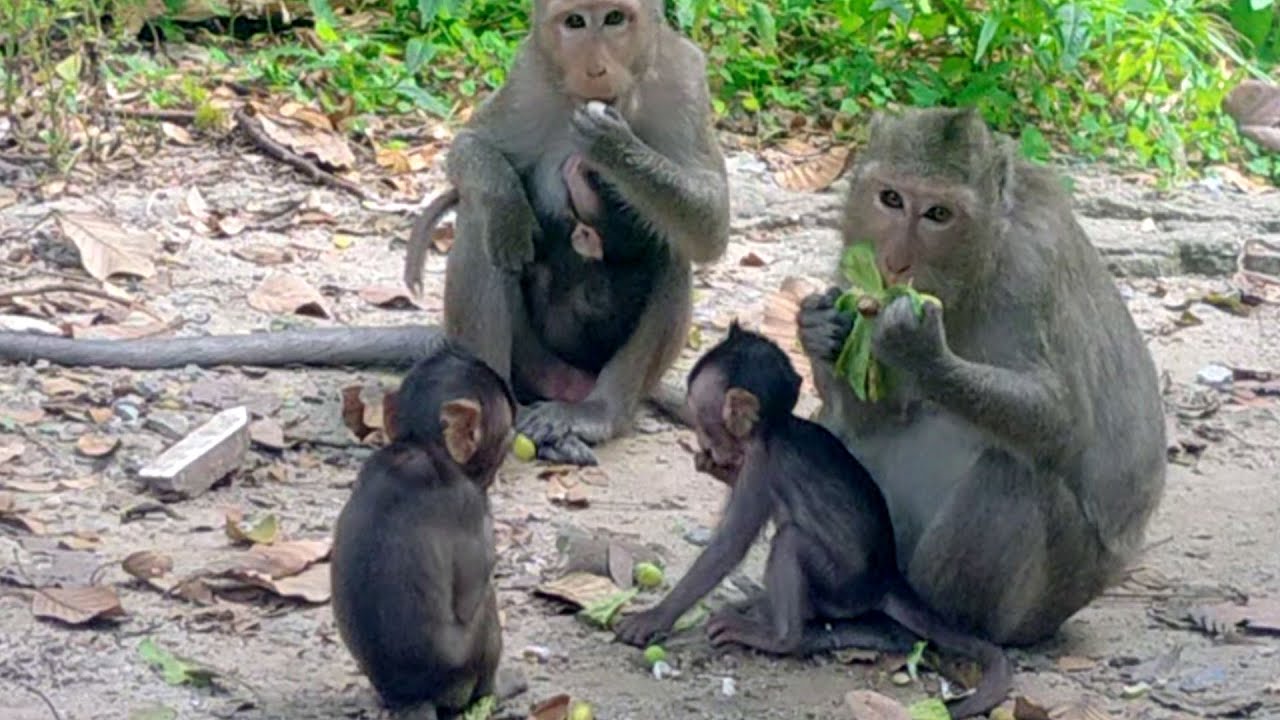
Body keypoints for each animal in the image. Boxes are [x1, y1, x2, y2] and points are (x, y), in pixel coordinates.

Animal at [0, 0, 728, 468]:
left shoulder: (684, 78)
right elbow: (475, 153)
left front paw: (613, 147)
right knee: (482, 228)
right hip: (523, 354)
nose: (597, 67)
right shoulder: (529, 75)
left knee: (672, 251)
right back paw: (483, 395)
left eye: (616, 20)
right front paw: (505, 189)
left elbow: (712, 224)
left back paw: (597, 414)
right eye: (575, 22)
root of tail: (555, 381)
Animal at [329, 340, 516, 719]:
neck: (422, 447)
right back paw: (497, 690)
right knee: (485, 608)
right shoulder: (470, 504)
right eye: (506, 441)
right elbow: (474, 590)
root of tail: (411, 699)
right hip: (463, 675)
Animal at [612, 323, 1012, 720]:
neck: (776, 427)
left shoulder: (761, 464)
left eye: (704, 426)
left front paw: (654, 617)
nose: (705, 446)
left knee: (790, 541)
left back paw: (781, 637)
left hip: (843, 589)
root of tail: (886, 578)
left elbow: (729, 546)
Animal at [795, 106, 1167, 646]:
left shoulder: (1030, 266)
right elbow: (874, 413)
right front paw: (820, 329)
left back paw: (932, 626)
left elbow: (1064, 421)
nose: (895, 262)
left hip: (1045, 601)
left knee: (1011, 473)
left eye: (939, 215)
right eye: (891, 199)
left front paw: (922, 351)